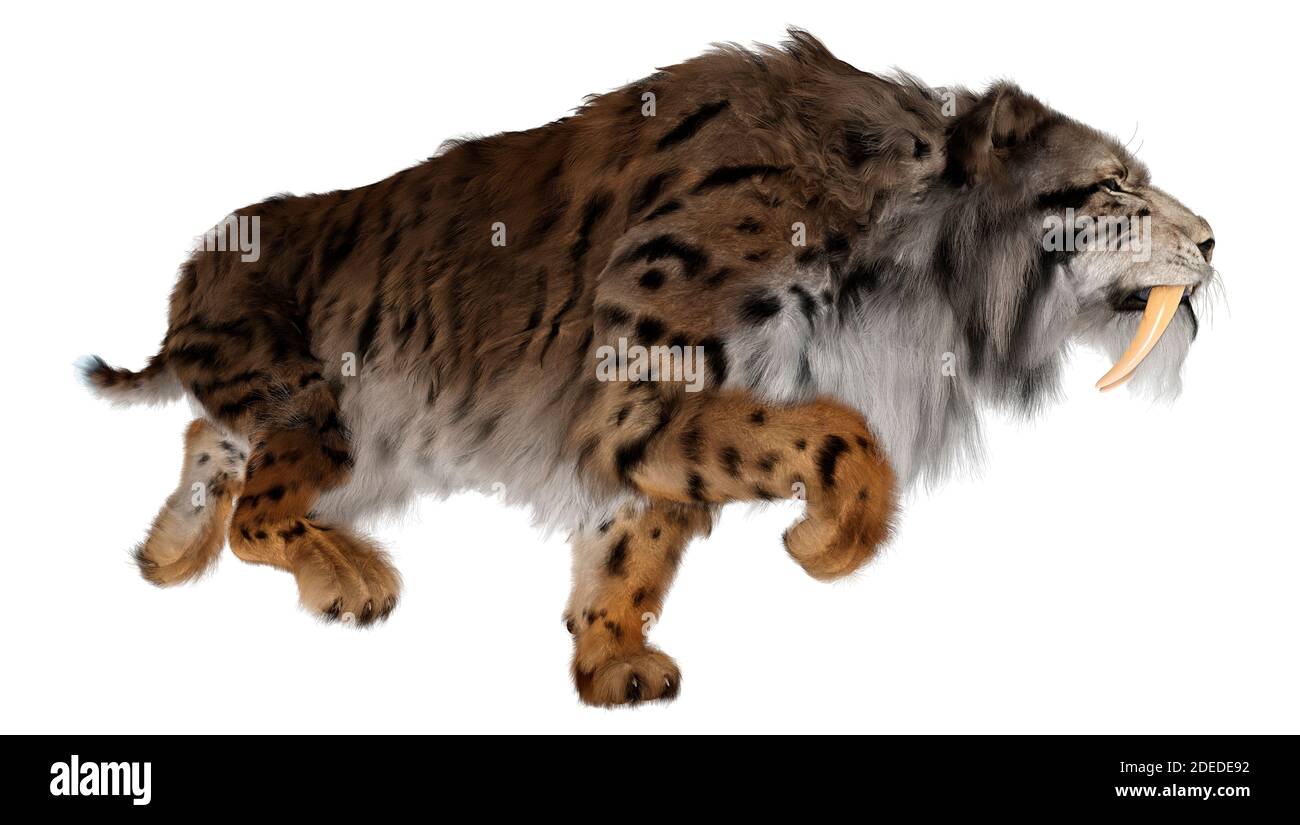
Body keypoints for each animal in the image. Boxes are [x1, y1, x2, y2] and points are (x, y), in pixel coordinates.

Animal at [80, 30, 1216, 706]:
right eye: (1117, 187)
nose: (1213, 240)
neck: (906, 263)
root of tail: (194, 268)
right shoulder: (641, 398)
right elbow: (841, 429)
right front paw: (829, 542)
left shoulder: (642, 441)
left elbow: (627, 552)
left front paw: (607, 660)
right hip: (324, 411)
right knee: (255, 509)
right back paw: (343, 576)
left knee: (209, 441)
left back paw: (166, 555)